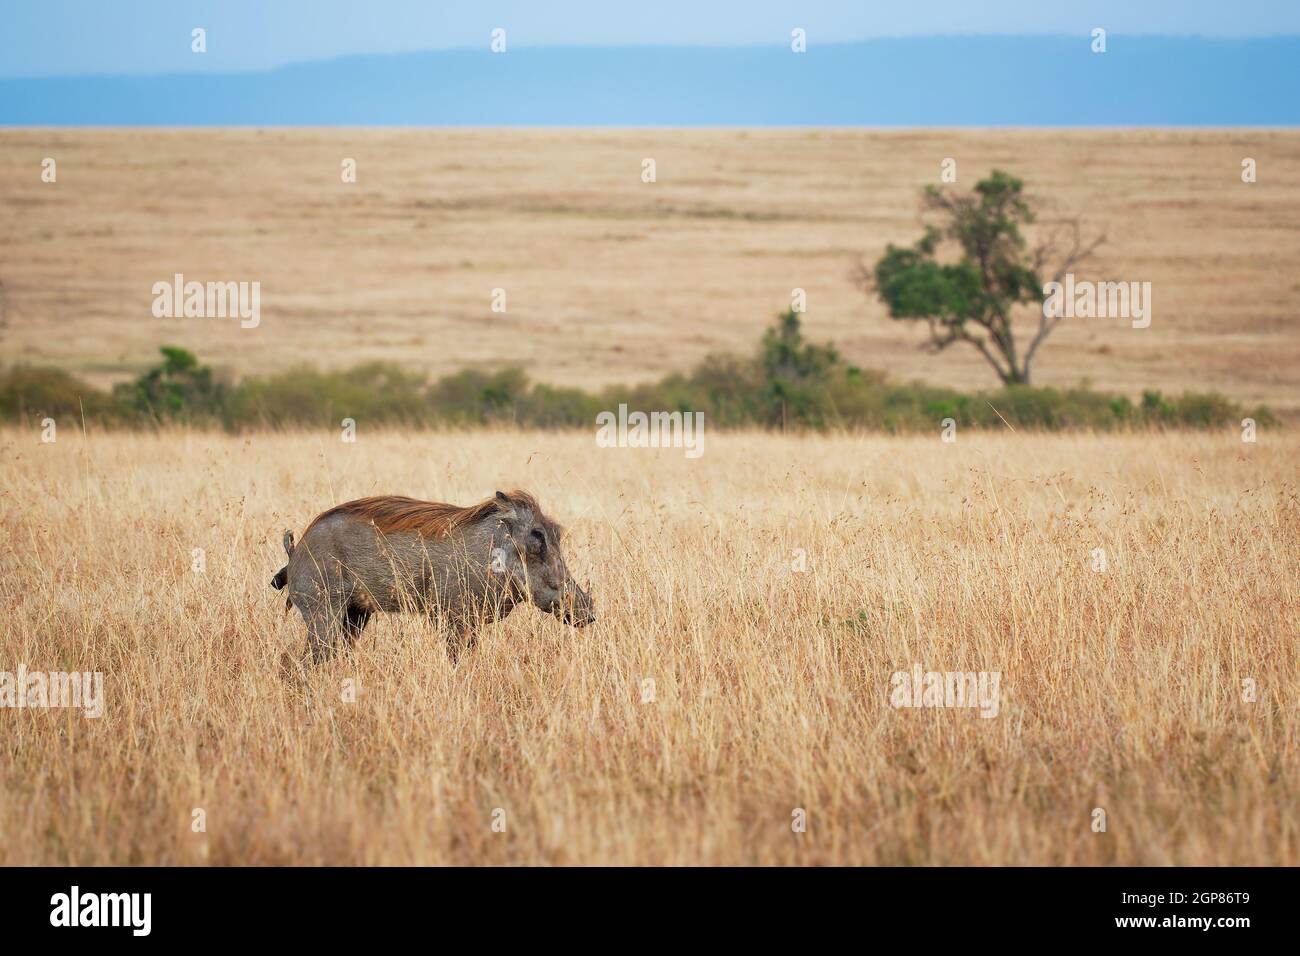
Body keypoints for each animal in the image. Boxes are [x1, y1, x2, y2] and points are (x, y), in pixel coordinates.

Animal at [271, 490, 594, 664]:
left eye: (556, 533)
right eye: (537, 538)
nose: (589, 613)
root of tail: (296, 550)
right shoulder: (454, 618)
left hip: (355, 615)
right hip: (323, 613)